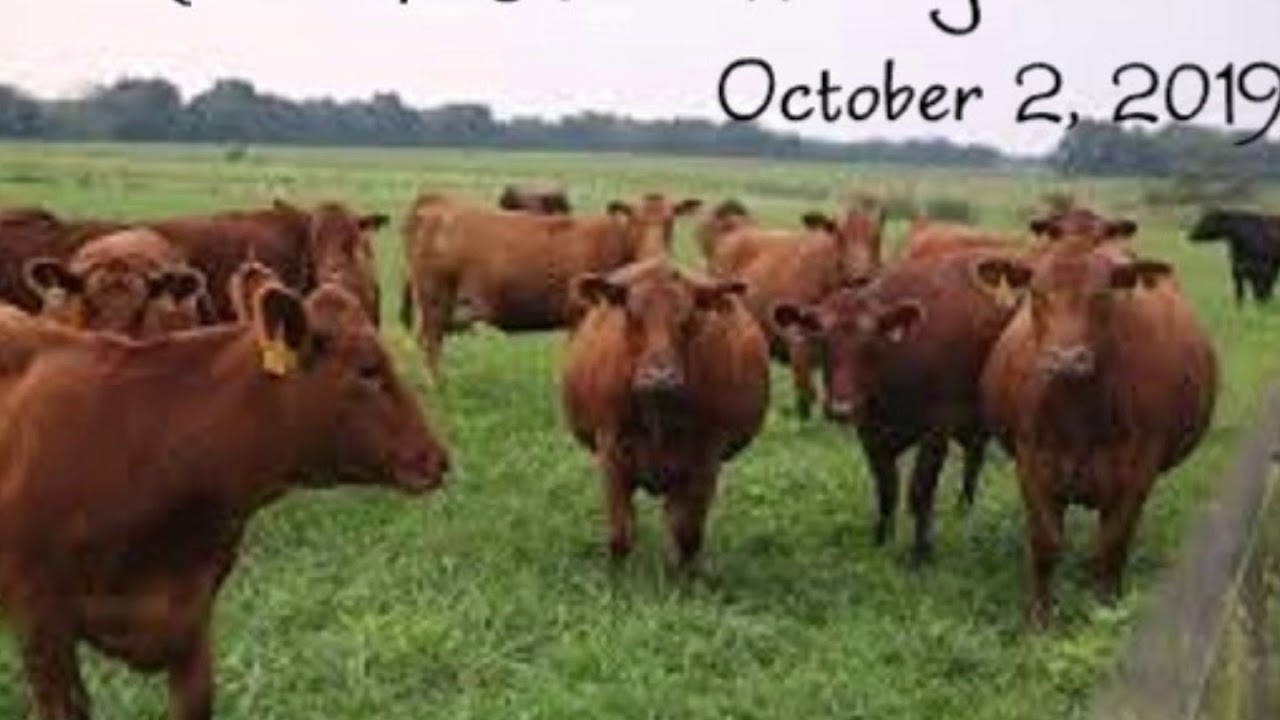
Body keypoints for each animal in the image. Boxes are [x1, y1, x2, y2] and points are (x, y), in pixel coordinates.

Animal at [399, 192, 703, 382]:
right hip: (436, 300)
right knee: (430, 342)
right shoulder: (580, 314)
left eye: (670, 221)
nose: (656, 254)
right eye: (635, 221)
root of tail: (437, 200)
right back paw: (438, 387)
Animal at [561, 258, 769, 567]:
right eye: (631, 314)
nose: (660, 377)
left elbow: (687, 533)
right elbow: (621, 533)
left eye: (689, 318)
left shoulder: (706, 459)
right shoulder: (610, 450)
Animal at [772, 248, 1026, 563]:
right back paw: (962, 511)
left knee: (973, 459)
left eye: (871, 343)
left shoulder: (936, 428)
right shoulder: (870, 431)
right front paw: (882, 540)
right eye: (822, 340)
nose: (841, 408)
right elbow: (887, 488)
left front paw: (921, 553)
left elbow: (920, 489)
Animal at [980, 227, 1218, 630]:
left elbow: (1110, 548)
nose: (1066, 359)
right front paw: (1040, 620)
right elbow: (1046, 545)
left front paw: (1106, 610)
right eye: (1036, 293)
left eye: (1102, 294)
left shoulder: (1138, 473)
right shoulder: (1031, 464)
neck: (1080, 419)